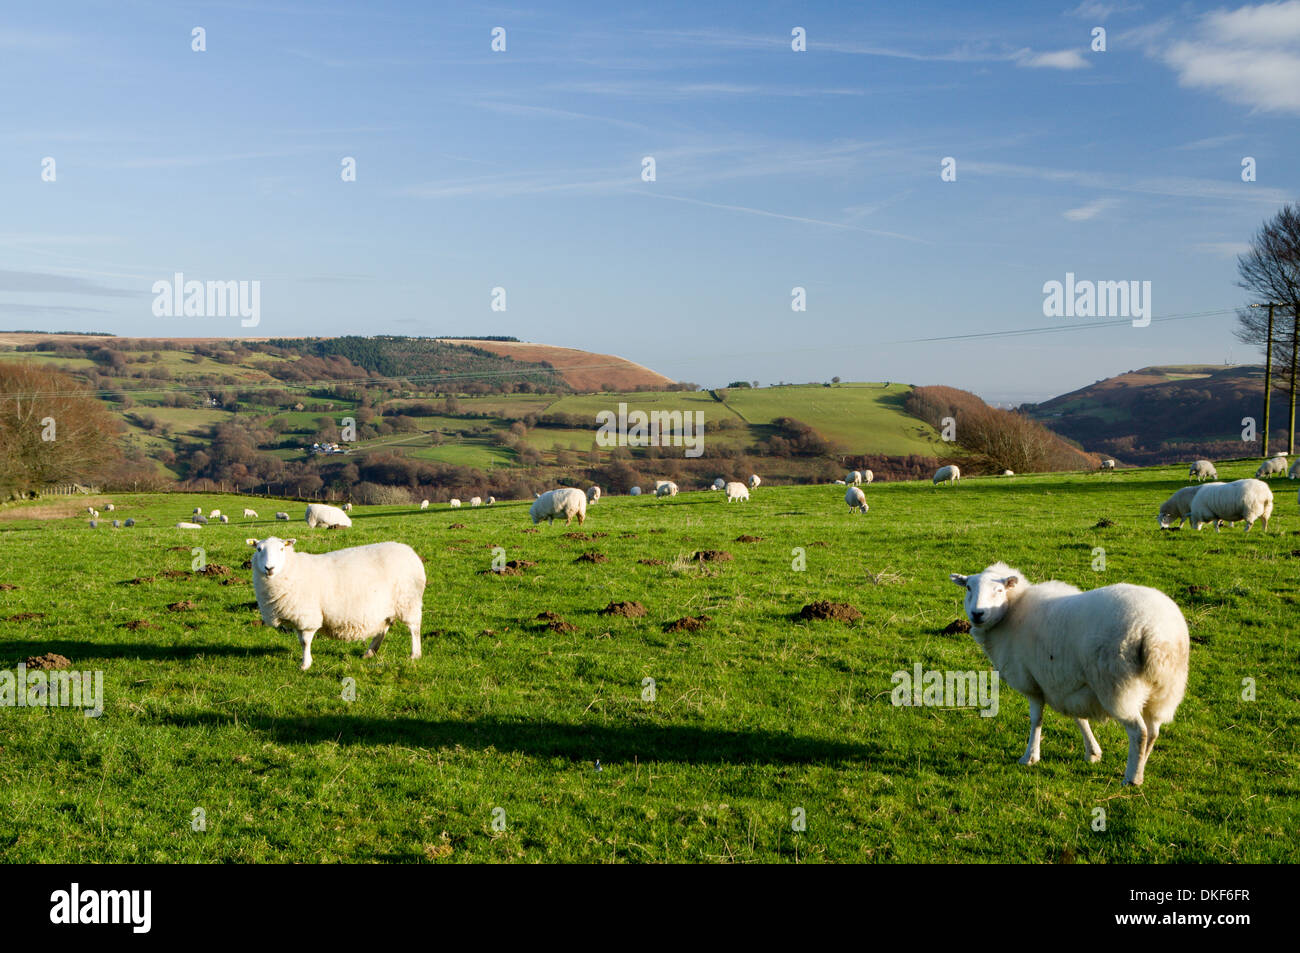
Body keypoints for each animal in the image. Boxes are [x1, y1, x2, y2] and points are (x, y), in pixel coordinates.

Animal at [247, 536, 426, 672]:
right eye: (259, 549)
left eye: (281, 549)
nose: (269, 568)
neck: (292, 570)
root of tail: (410, 552)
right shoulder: (299, 618)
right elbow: (301, 642)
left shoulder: (307, 617)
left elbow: (305, 642)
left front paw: (305, 665)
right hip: (387, 607)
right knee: (383, 628)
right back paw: (370, 652)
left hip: (408, 601)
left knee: (414, 628)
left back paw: (415, 654)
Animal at [951, 562, 1188, 786]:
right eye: (969, 587)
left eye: (999, 590)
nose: (977, 614)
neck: (1012, 613)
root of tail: (1156, 634)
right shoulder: (1068, 684)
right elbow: (1079, 718)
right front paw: (1093, 752)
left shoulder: (1032, 683)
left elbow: (1036, 719)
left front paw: (1030, 756)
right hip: (1165, 689)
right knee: (1153, 731)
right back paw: (1141, 766)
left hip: (1118, 687)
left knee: (1139, 732)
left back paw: (1131, 778)